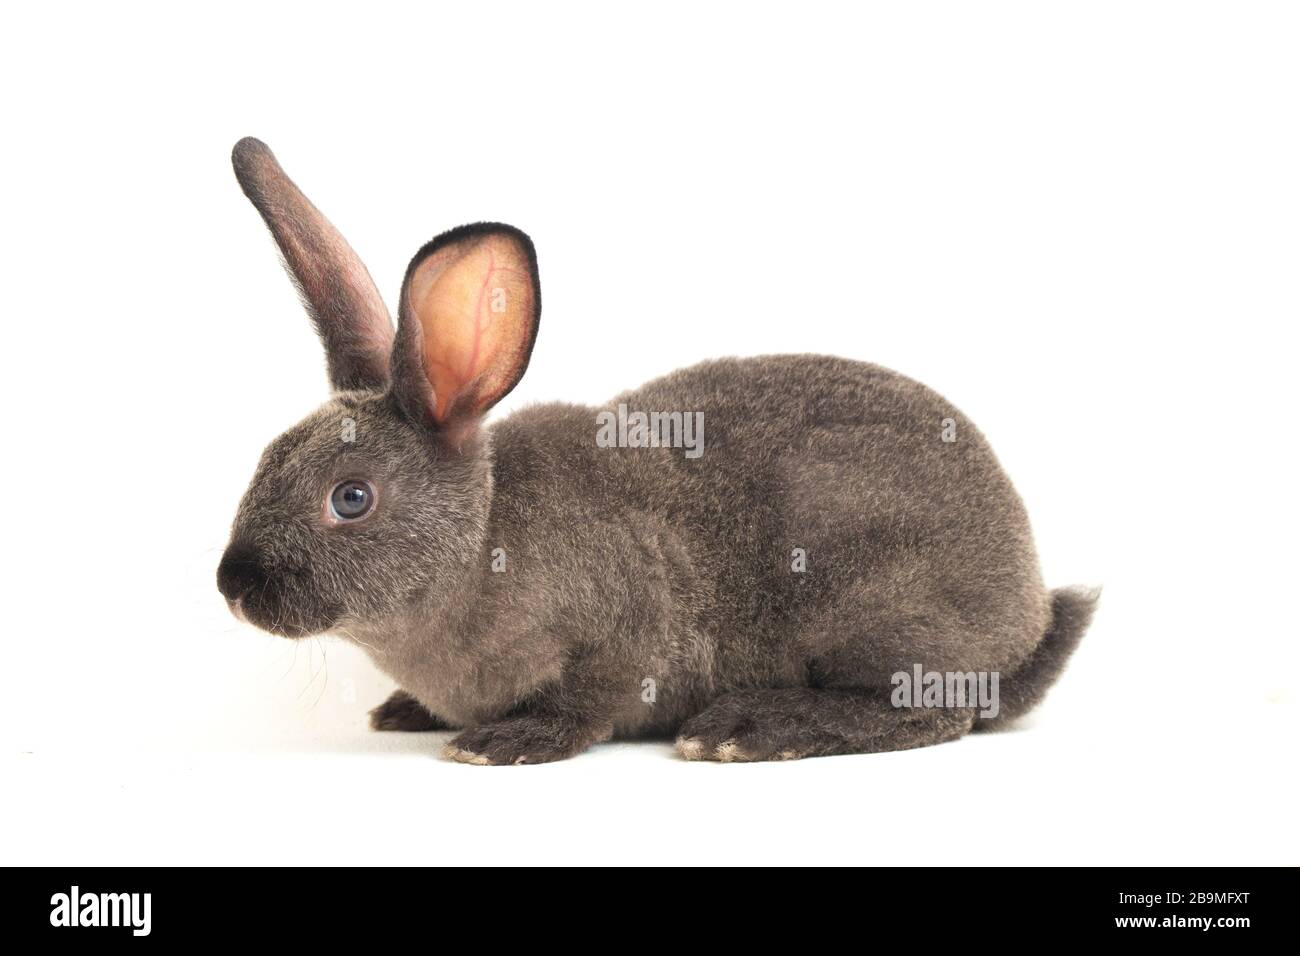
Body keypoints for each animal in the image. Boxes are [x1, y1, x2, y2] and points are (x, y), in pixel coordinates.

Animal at [217, 137, 1098, 764]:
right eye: (263, 461)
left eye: (351, 497)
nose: (233, 586)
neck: (478, 544)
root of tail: (1029, 615)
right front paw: (408, 711)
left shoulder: (627, 631)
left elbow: (590, 703)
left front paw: (506, 741)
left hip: (880, 605)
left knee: (932, 709)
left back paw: (750, 728)